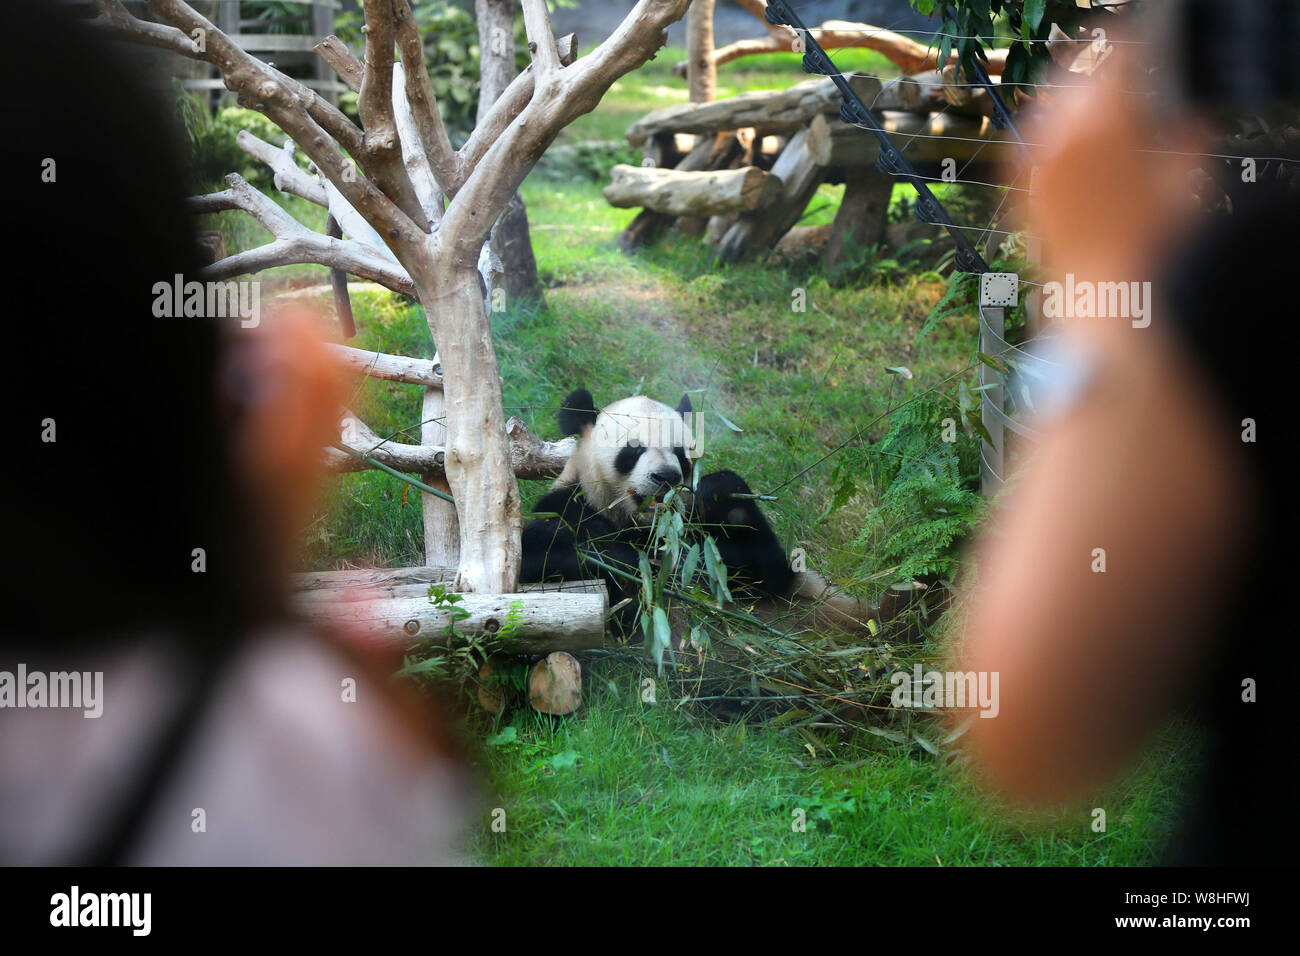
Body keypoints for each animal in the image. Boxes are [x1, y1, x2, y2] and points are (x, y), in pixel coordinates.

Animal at [520, 388, 871, 637]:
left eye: (680, 453)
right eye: (633, 450)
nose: (666, 476)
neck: (647, 527)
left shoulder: (693, 526)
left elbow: (766, 572)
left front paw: (721, 491)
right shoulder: (569, 504)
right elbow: (542, 557)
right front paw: (629, 565)